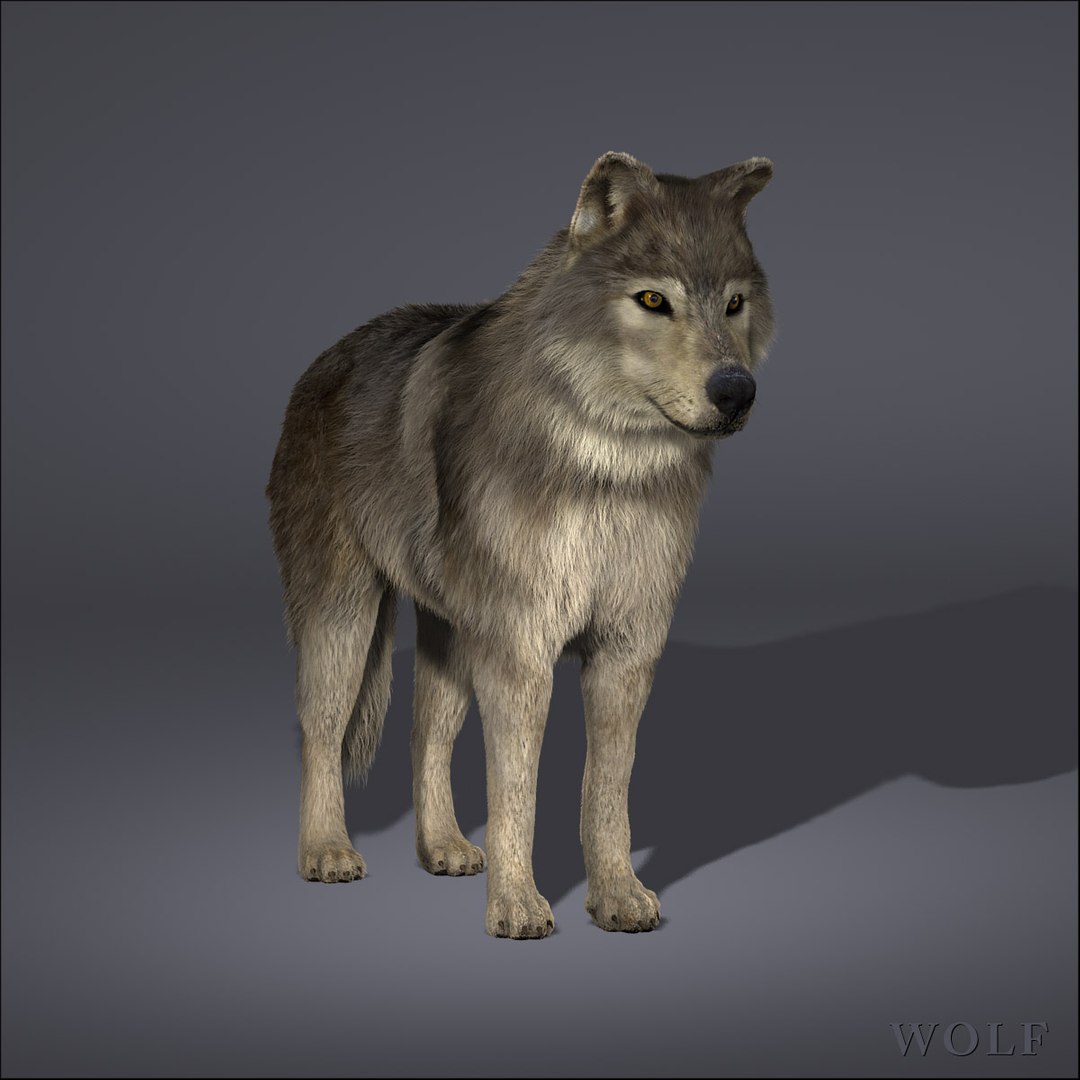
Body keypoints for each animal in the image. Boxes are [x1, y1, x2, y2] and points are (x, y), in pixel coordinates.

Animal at [266, 151, 775, 938]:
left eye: (734, 304)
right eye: (653, 300)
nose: (736, 391)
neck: (605, 468)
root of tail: (326, 357)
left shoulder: (626, 653)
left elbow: (606, 791)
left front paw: (618, 897)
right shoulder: (521, 651)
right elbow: (517, 793)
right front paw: (517, 907)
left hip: (450, 635)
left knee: (426, 735)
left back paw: (444, 848)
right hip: (344, 619)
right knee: (320, 730)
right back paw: (326, 852)